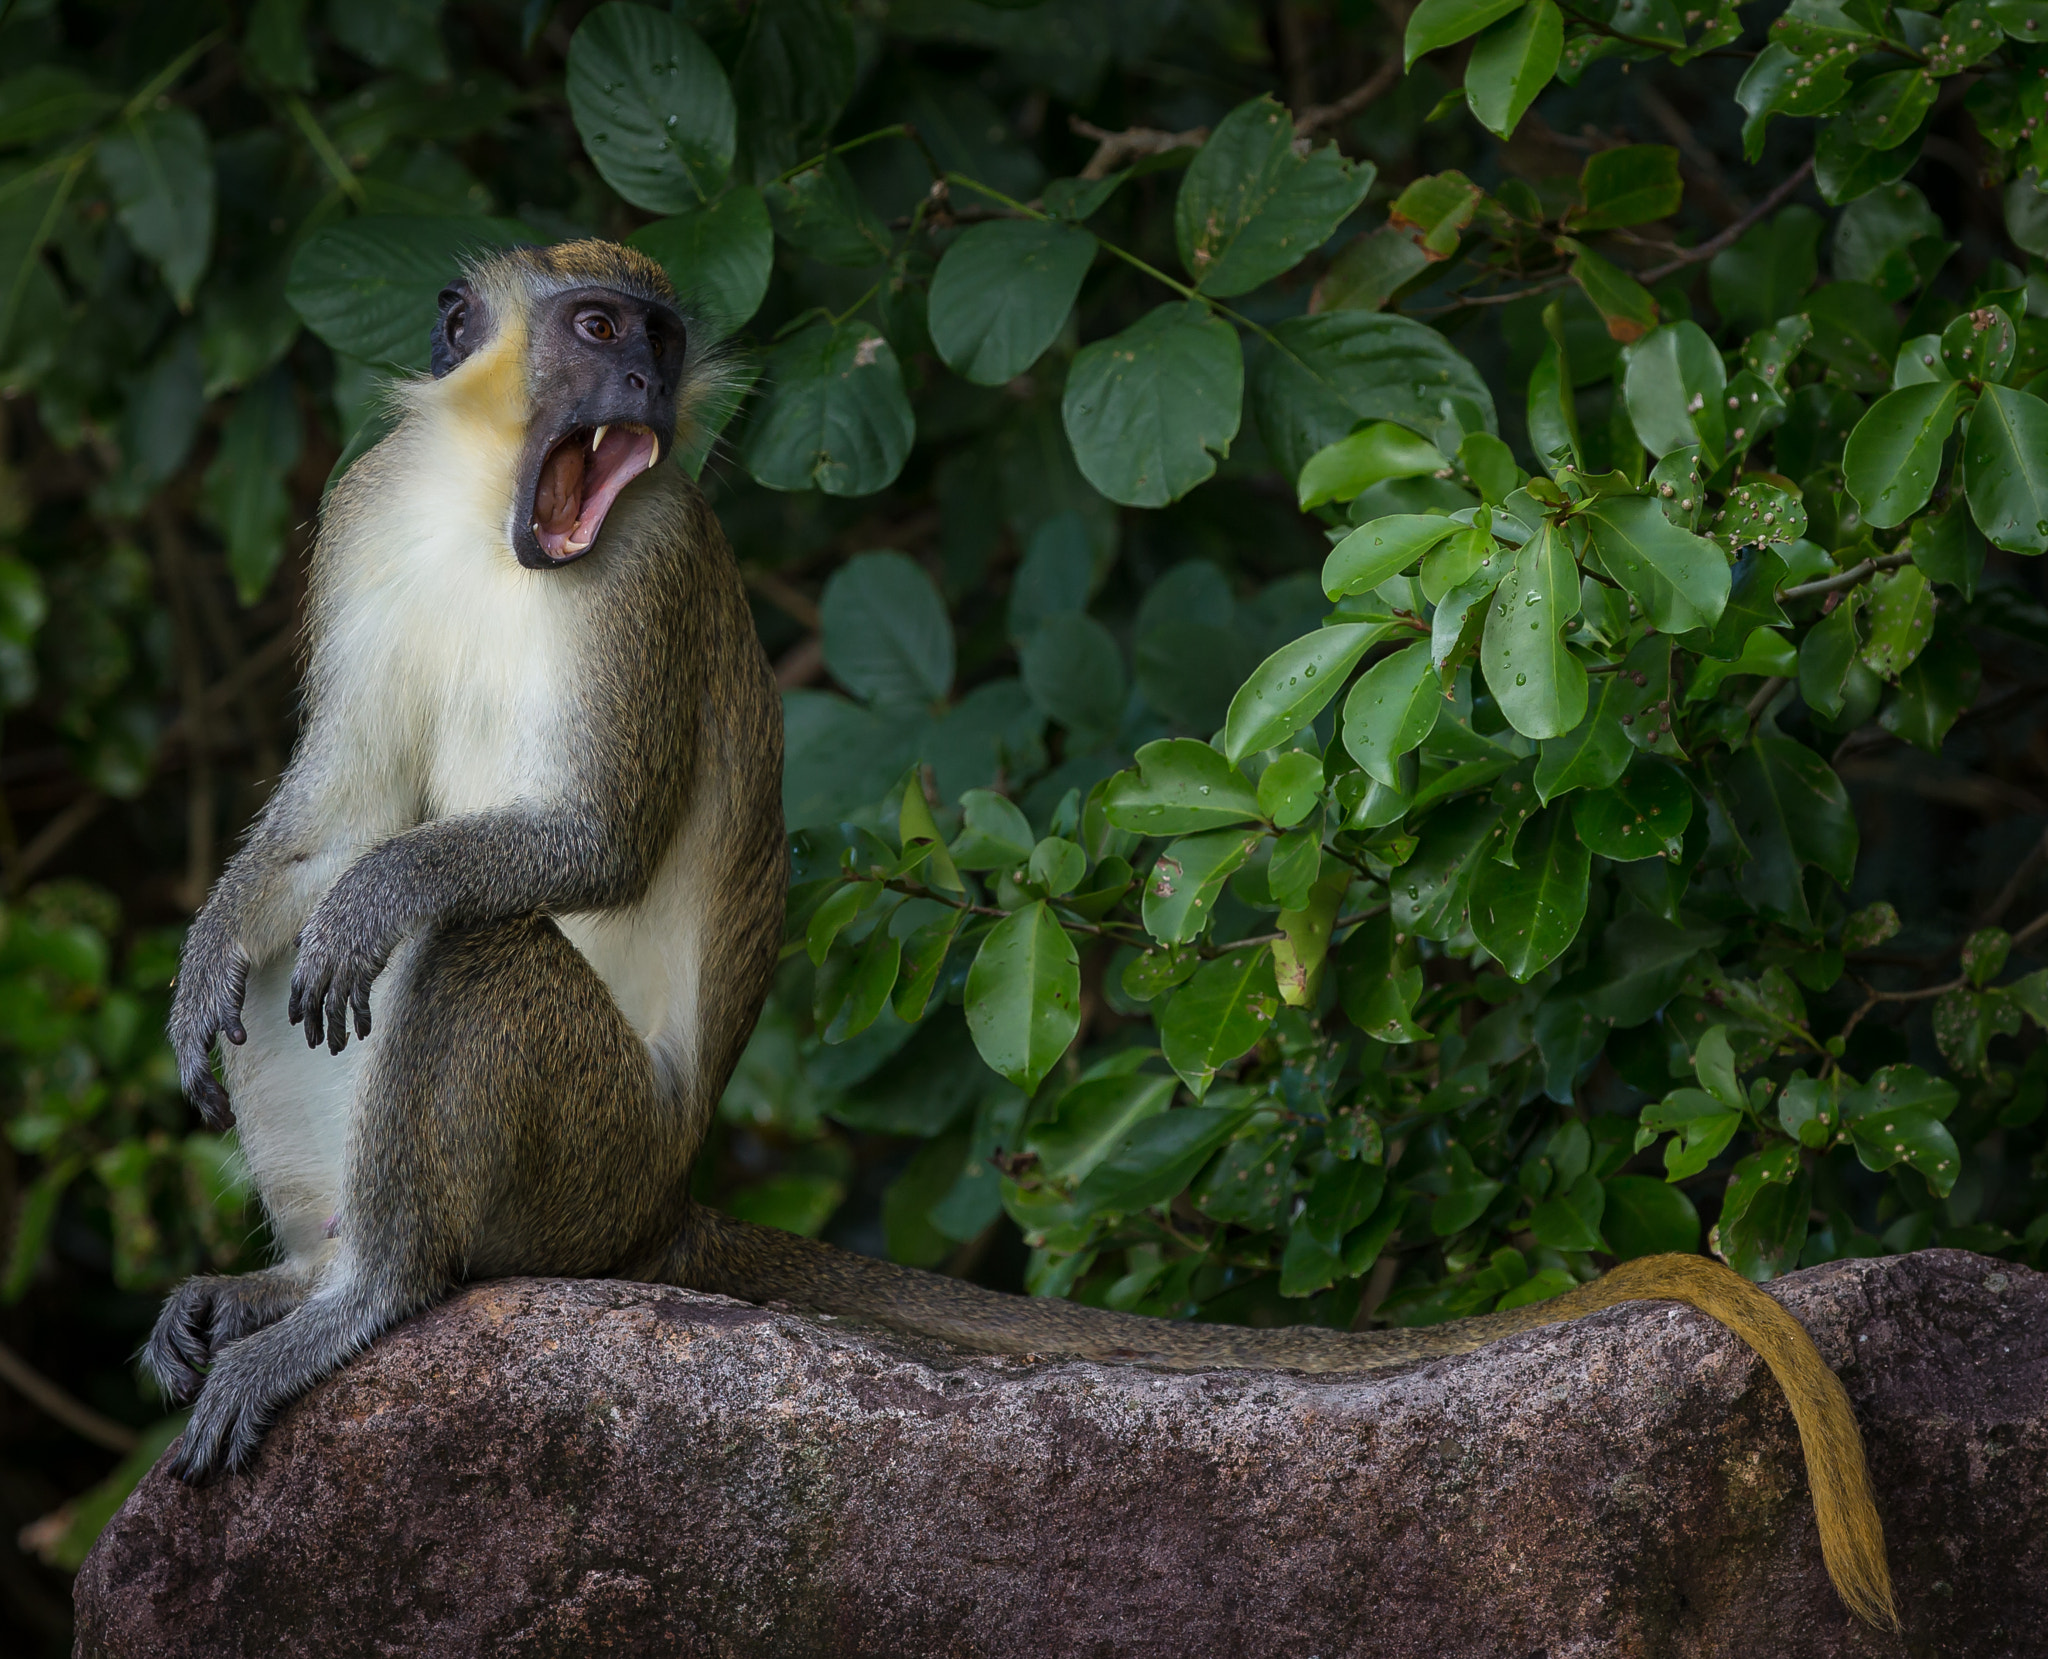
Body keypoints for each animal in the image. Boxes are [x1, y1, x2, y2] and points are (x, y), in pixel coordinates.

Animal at [145, 239, 1895, 1634]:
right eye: (592, 324)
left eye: (659, 333)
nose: (642, 375)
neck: (481, 506)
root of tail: (666, 1211)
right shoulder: (366, 512)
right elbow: (329, 809)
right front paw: (206, 953)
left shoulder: (648, 567)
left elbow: (568, 846)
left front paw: (382, 909)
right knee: (304, 962)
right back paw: (291, 1275)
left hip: (587, 1167)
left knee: (465, 948)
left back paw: (370, 1291)